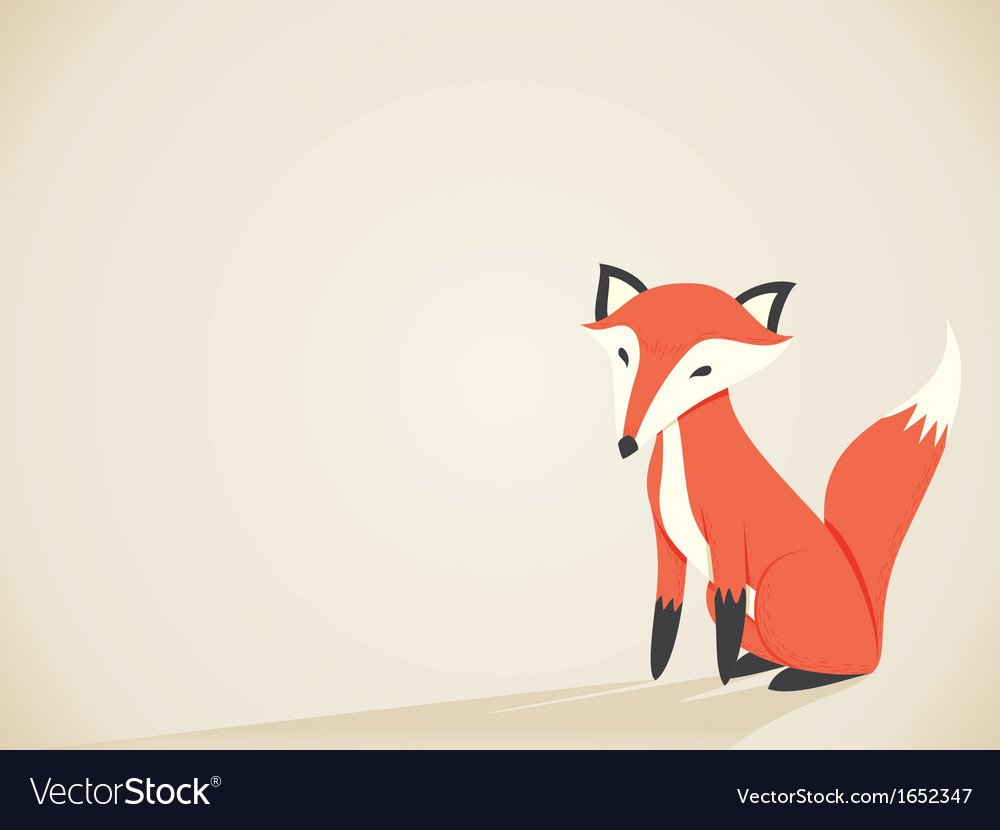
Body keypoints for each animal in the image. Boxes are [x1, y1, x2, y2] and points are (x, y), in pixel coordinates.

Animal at [584, 264, 960, 691]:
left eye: (703, 371)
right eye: (625, 356)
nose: (626, 444)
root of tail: (875, 629)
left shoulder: (729, 534)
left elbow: (728, 615)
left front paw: (722, 675)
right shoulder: (665, 537)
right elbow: (667, 609)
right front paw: (659, 668)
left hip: (776, 585)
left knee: (854, 666)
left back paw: (797, 677)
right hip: (729, 594)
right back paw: (757, 664)